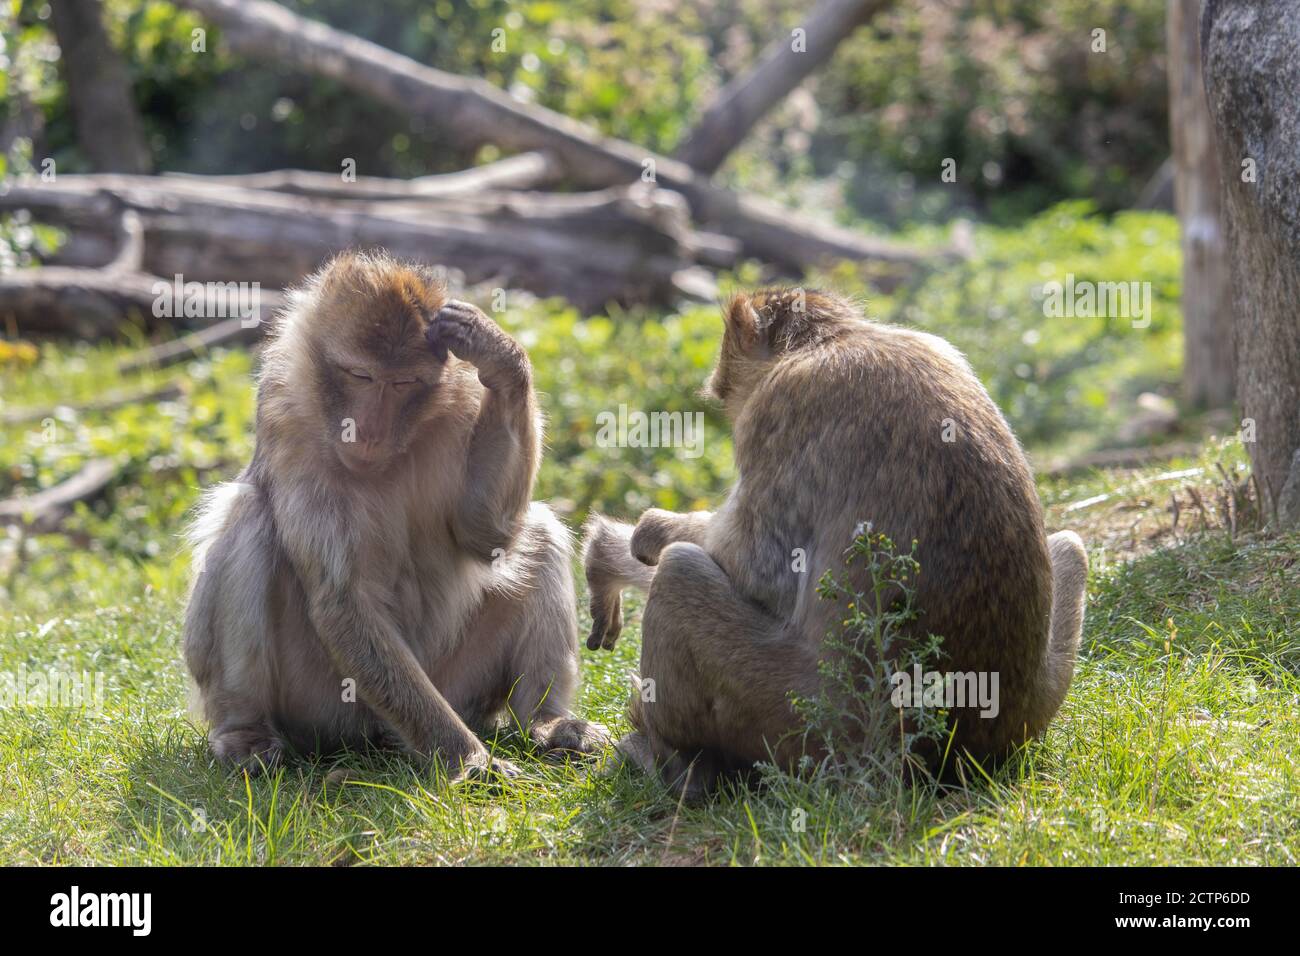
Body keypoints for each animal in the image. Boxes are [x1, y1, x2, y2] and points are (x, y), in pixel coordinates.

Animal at [182, 251, 608, 780]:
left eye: (404, 383)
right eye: (360, 376)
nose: (368, 431)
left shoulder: (464, 405)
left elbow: (485, 534)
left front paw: (502, 358)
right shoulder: (288, 419)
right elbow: (345, 596)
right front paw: (470, 760)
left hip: (457, 686)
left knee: (539, 531)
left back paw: (545, 721)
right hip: (319, 703)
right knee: (250, 517)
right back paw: (245, 730)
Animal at [582, 289, 1088, 799]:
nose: (719, 388)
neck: (836, 337)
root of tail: (952, 750)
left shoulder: (780, 403)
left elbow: (754, 565)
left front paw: (639, 534)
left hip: (795, 721)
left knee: (680, 572)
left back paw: (668, 758)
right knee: (1071, 548)